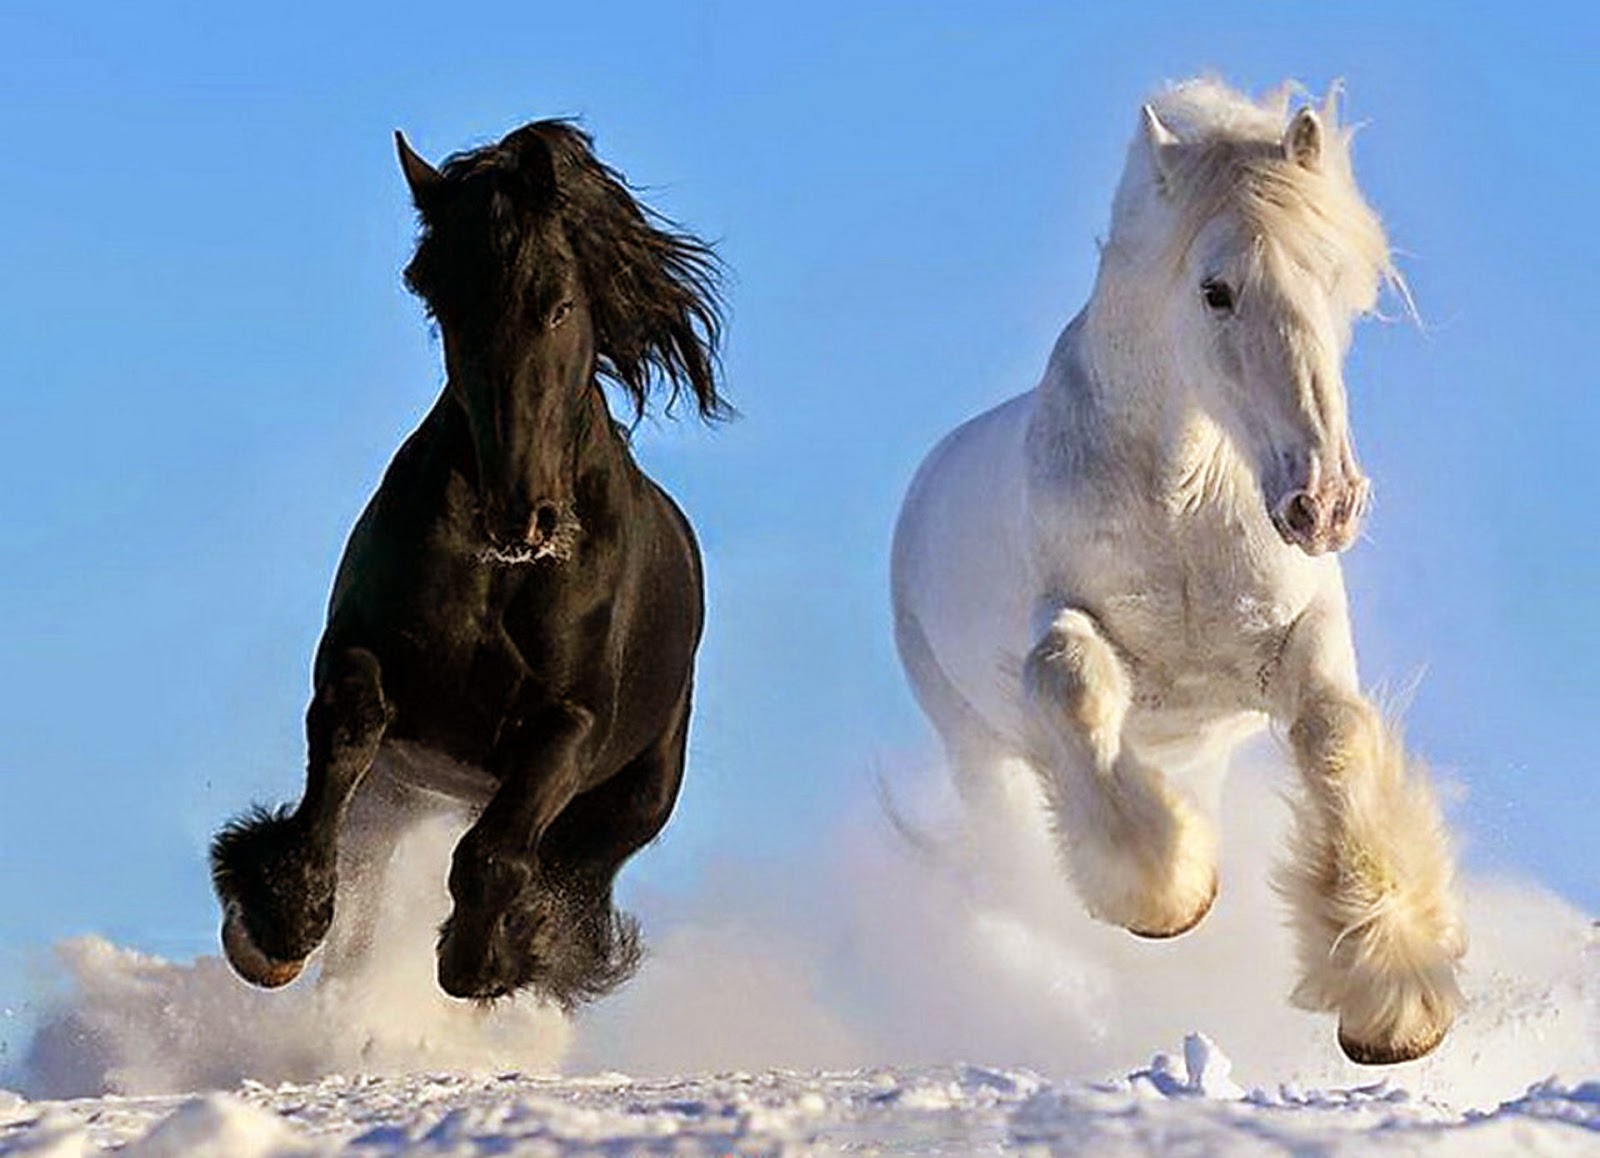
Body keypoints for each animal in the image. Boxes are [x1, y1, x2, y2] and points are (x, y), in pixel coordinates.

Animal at [210, 119, 727, 1007]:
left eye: (558, 304)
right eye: (445, 305)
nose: (520, 515)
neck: (506, 571)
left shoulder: (571, 723)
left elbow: (496, 852)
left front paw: (487, 957)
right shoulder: (362, 653)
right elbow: (345, 734)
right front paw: (276, 924)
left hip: (635, 795)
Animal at [891, 79, 1464, 1065]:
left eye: (1337, 281)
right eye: (1216, 290)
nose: (1324, 503)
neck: (1185, 504)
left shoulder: (1300, 644)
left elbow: (1335, 737)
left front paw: (1390, 1002)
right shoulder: (1066, 624)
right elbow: (1071, 681)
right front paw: (1168, 896)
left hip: (1201, 752)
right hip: (975, 748)